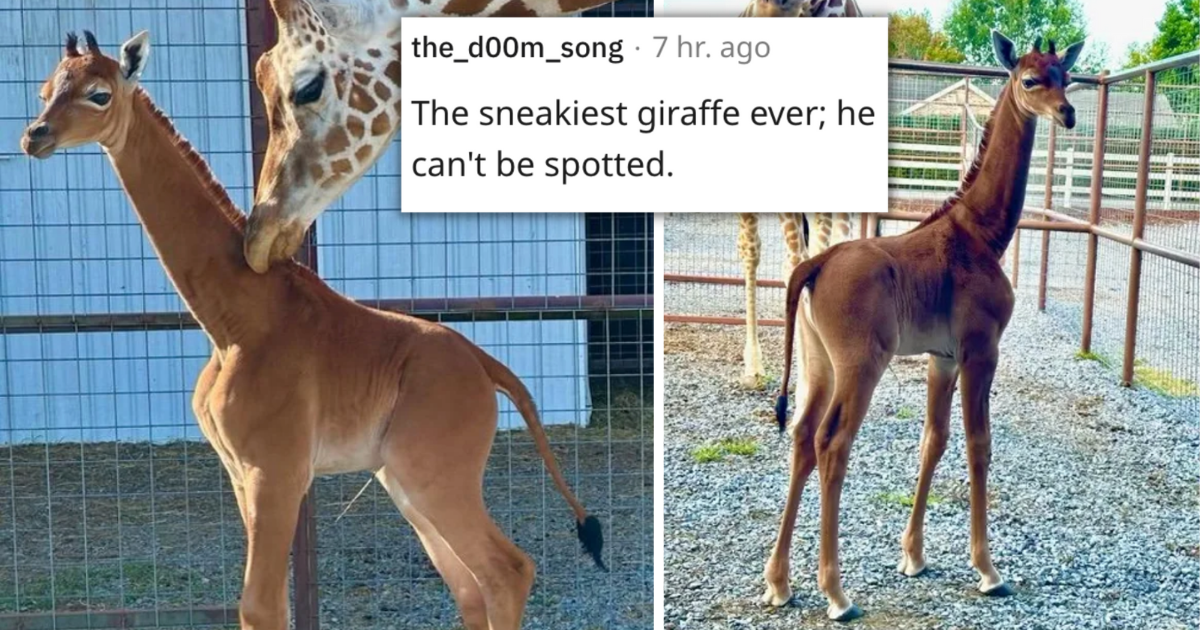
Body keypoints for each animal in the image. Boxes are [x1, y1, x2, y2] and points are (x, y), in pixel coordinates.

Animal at [22, 31, 606, 630]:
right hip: (403, 479)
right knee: (470, 586)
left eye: (98, 94)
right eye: (45, 90)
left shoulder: (275, 468)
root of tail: (488, 367)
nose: (34, 136)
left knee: (506, 570)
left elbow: (259, 605)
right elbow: (273, 604)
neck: (233, 320)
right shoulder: (241, 472)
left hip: (433, 473)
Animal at [762, 32, 1083, 621]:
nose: (1067, 113)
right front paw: (987, 570)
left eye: (1064, 76)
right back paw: (837, 595)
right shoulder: (981, 350)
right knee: (831, 443)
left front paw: (912, 556)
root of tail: (815, 264)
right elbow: (979, 443)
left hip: (818, 365)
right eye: (1030, 79)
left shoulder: (943, 357)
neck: (982, 233)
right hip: (860, 365)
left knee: (800, 438)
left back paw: (779, 583)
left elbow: (933, 439)